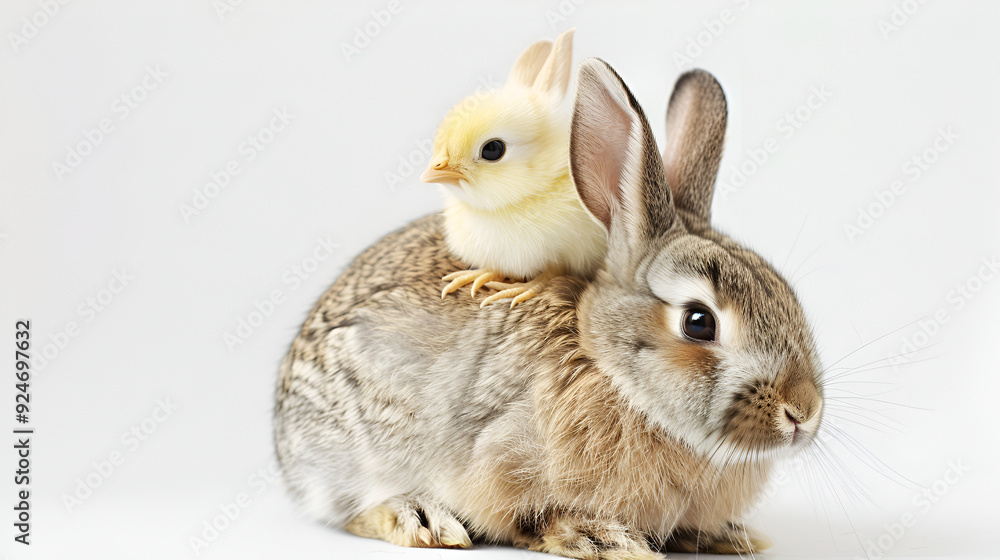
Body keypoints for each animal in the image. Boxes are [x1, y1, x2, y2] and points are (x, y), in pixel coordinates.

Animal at [274, 58, 824, 560]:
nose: (803, 411)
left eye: (787, 296)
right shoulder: (500, 463)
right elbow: (532, 518)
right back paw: (420, 518)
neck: (612, 372)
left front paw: (722, 535)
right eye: (698, 322)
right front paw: (603, 538)